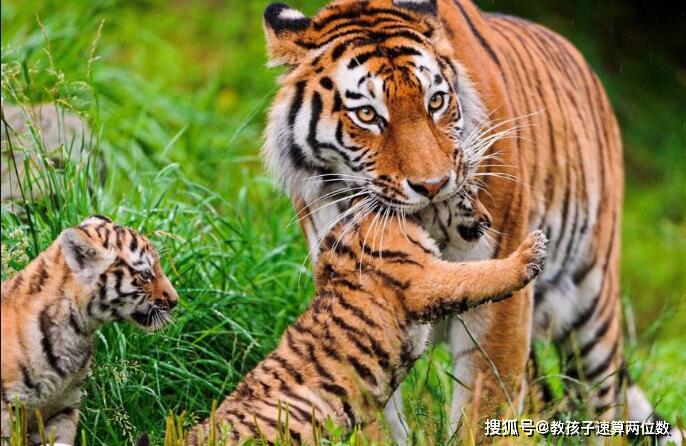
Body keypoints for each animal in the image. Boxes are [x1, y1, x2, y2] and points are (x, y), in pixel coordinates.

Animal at [188, 199, 548, 445]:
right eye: (467, 194)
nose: (489, 219)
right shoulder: (424, 278)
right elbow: (476, 275)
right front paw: (530, 253)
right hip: (300, 411)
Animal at [260, 0, 682, 443]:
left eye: (435, 102)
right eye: (367, 115)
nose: (432, 185)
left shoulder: (501, 301)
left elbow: (485, 407)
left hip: (593, 306)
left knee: (602, 402)